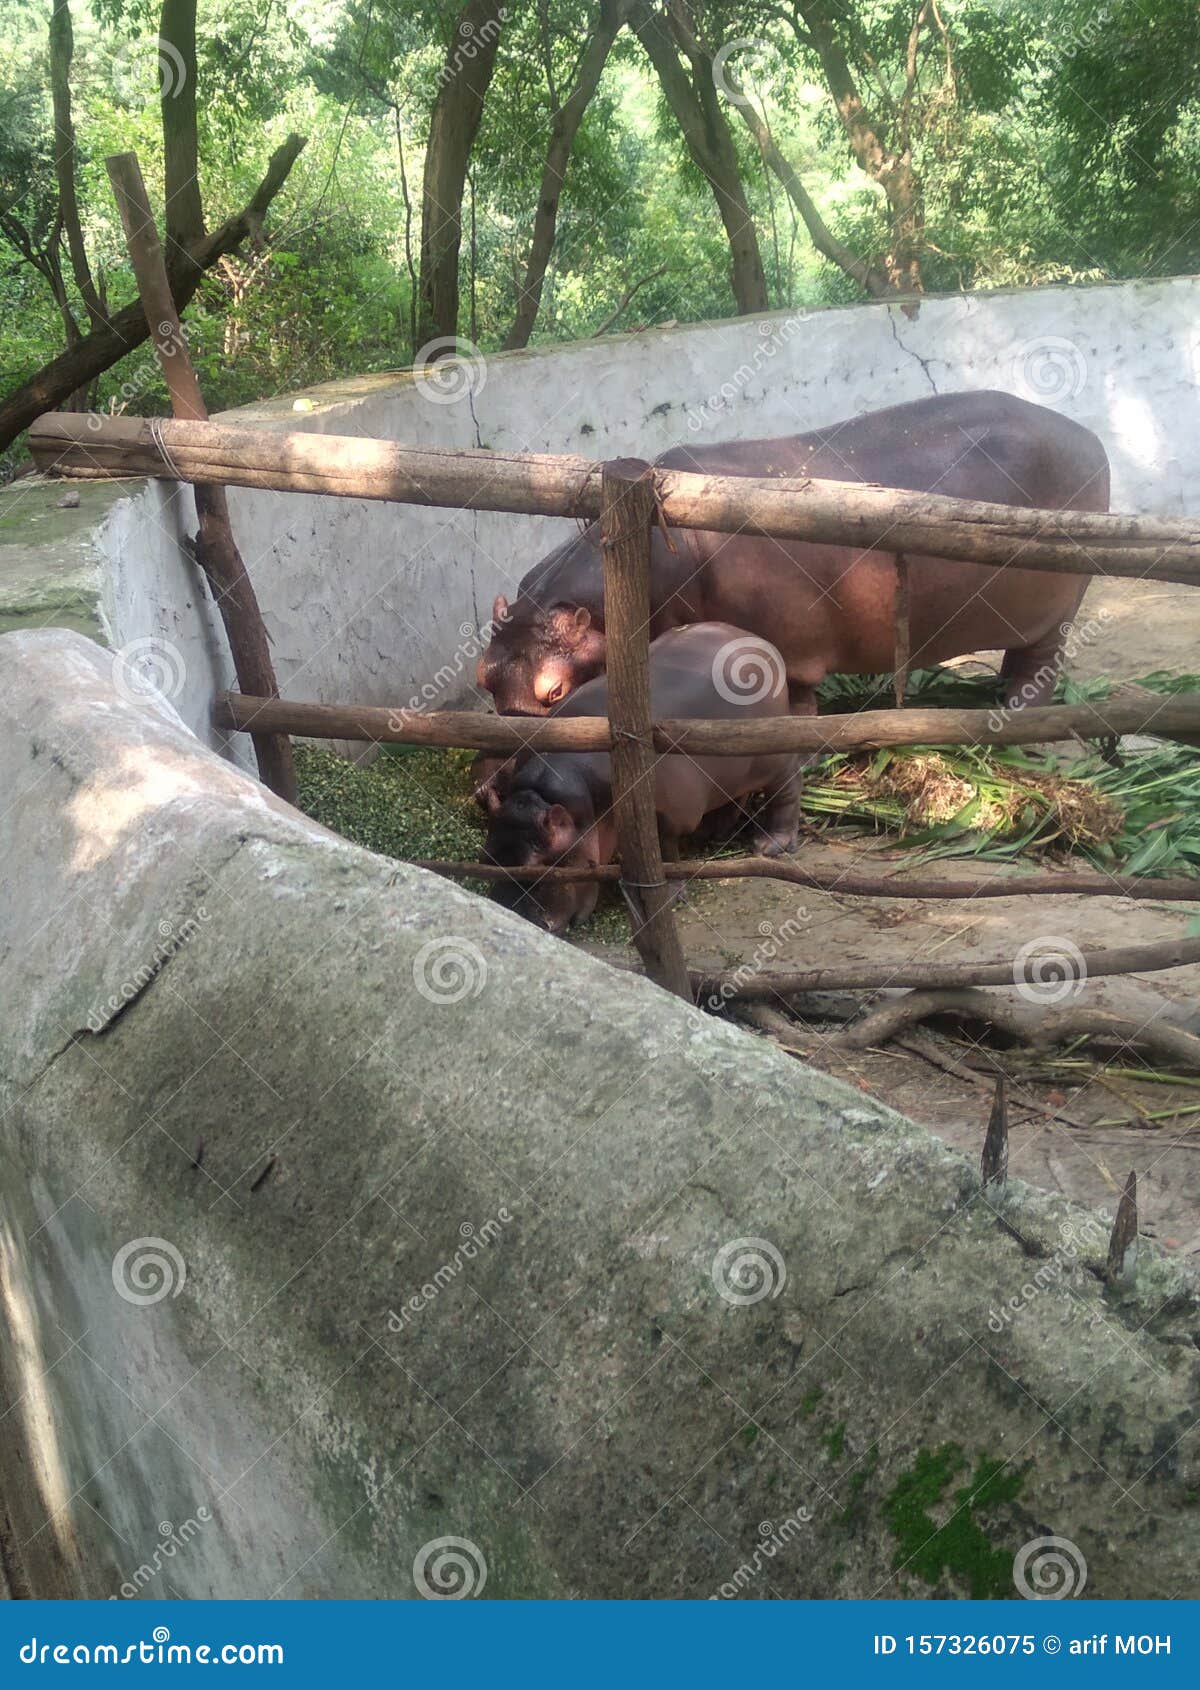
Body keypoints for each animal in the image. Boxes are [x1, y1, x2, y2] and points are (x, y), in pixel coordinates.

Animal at [476, 390, 1109, 717]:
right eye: (482, 676)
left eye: (554, 692)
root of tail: (1090, 435)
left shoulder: (791, 647)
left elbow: (796, 703)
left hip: (1058, 607)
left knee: (1038, 664)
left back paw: (1015, 714)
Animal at [479, 623, 801, 933]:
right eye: (485, 857)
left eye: (544, 868)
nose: (511, 918)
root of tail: (756, 639)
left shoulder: (670, 813)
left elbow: (665, 851)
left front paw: (668, 895)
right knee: (735, 795)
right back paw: (715, 830)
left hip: (775, 756)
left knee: (787, 791)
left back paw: (769, 846)